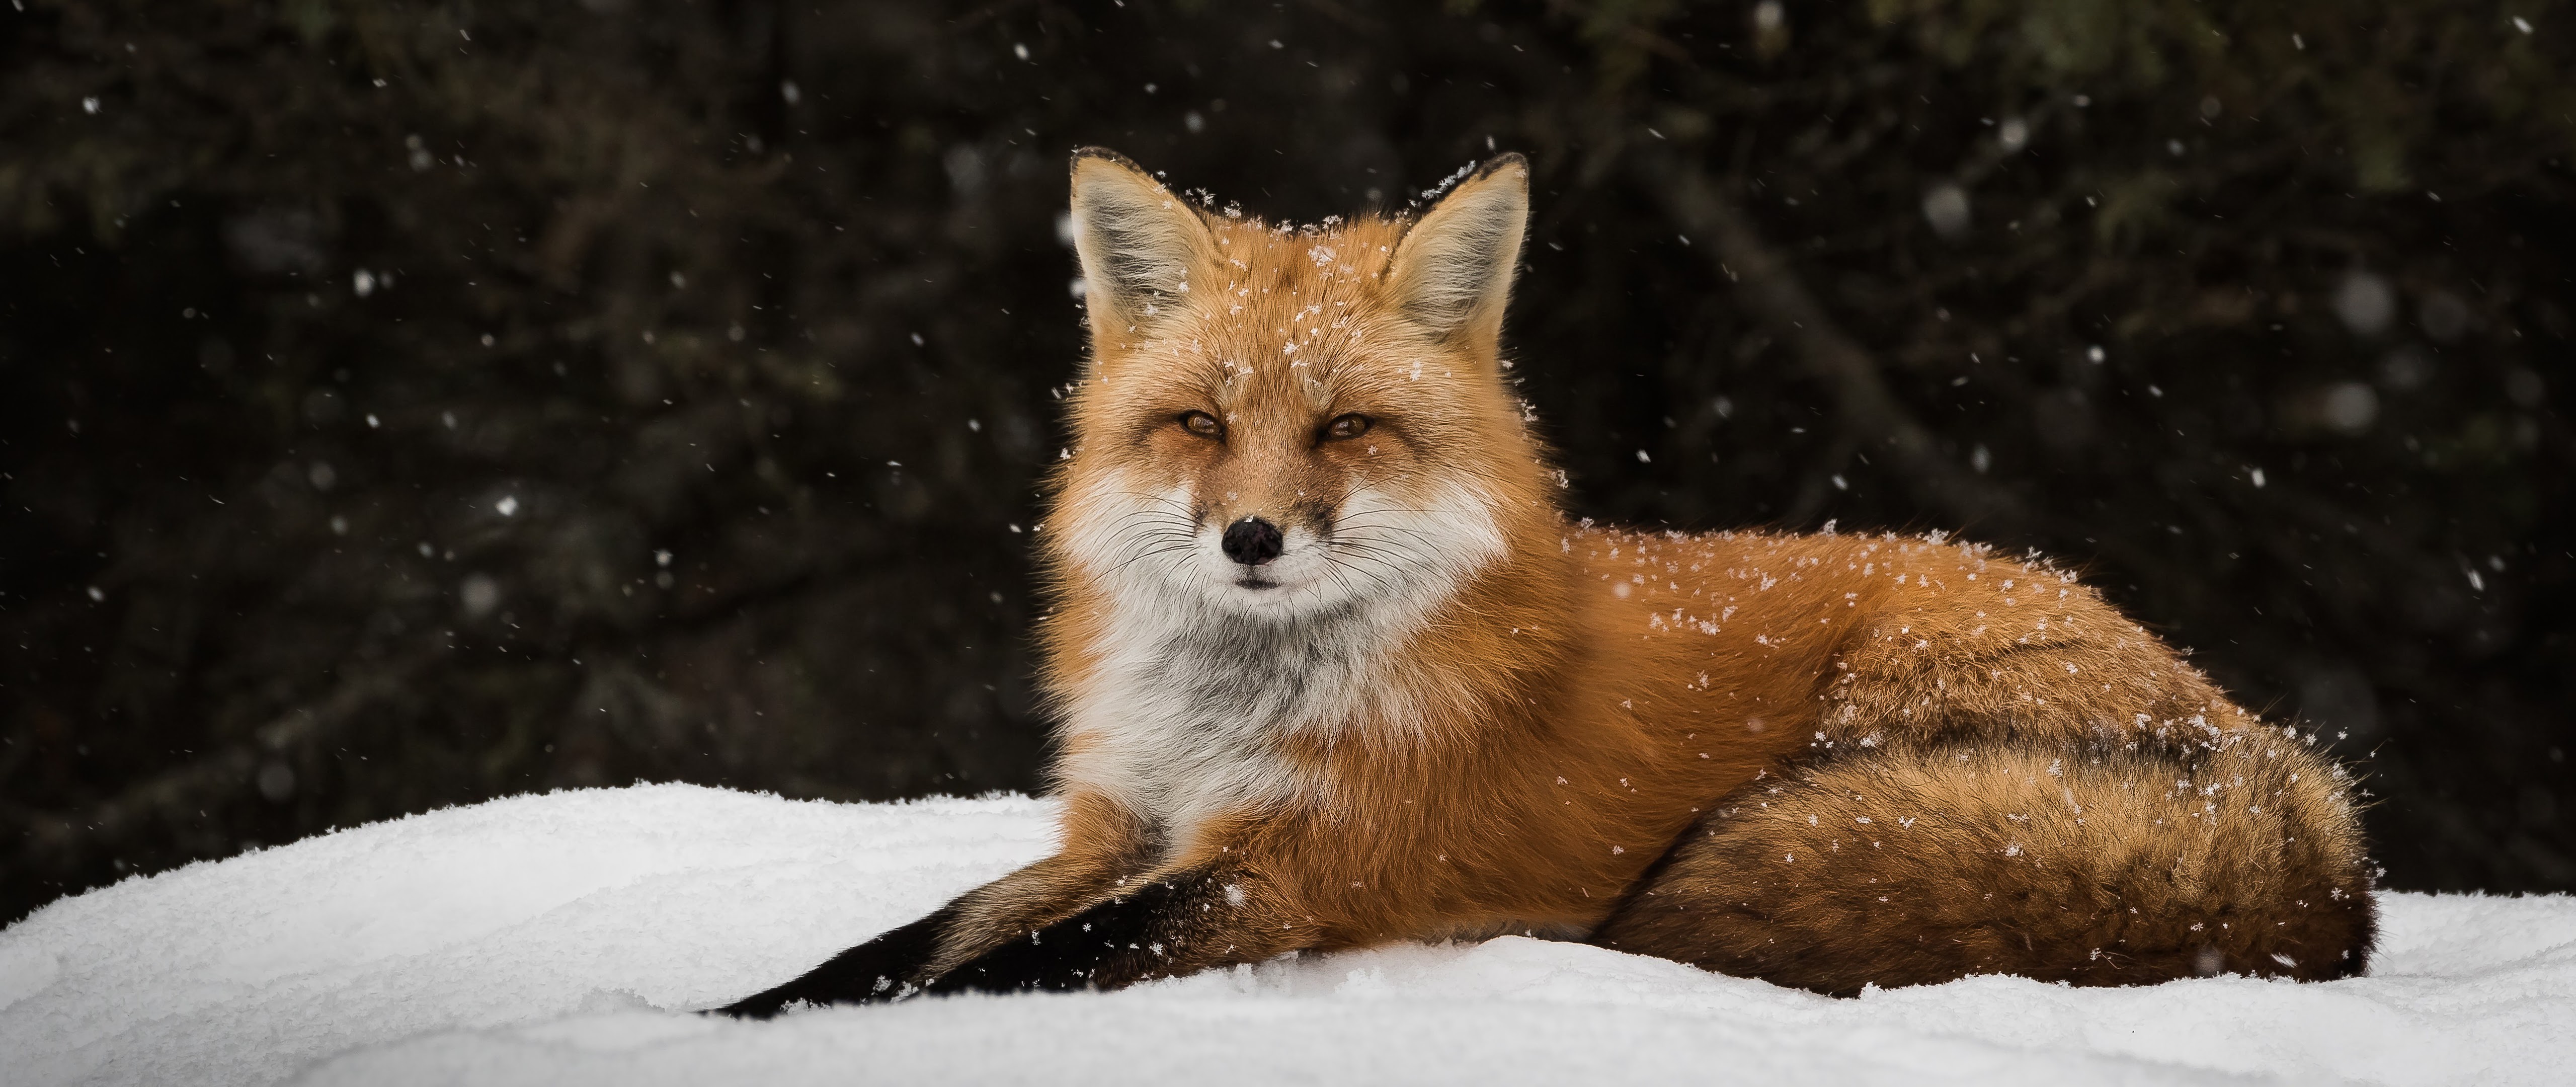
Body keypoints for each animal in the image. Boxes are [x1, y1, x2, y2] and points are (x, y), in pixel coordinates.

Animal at [717, 148, 2376, 1016]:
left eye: (1343, 429)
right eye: (1197, 424)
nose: (1249, 538)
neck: (1236, 710)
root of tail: (2298, 799)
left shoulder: (1293, 874)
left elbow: (995, 973)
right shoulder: (1119, 827)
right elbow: (902, 944)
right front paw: (726, 1012)